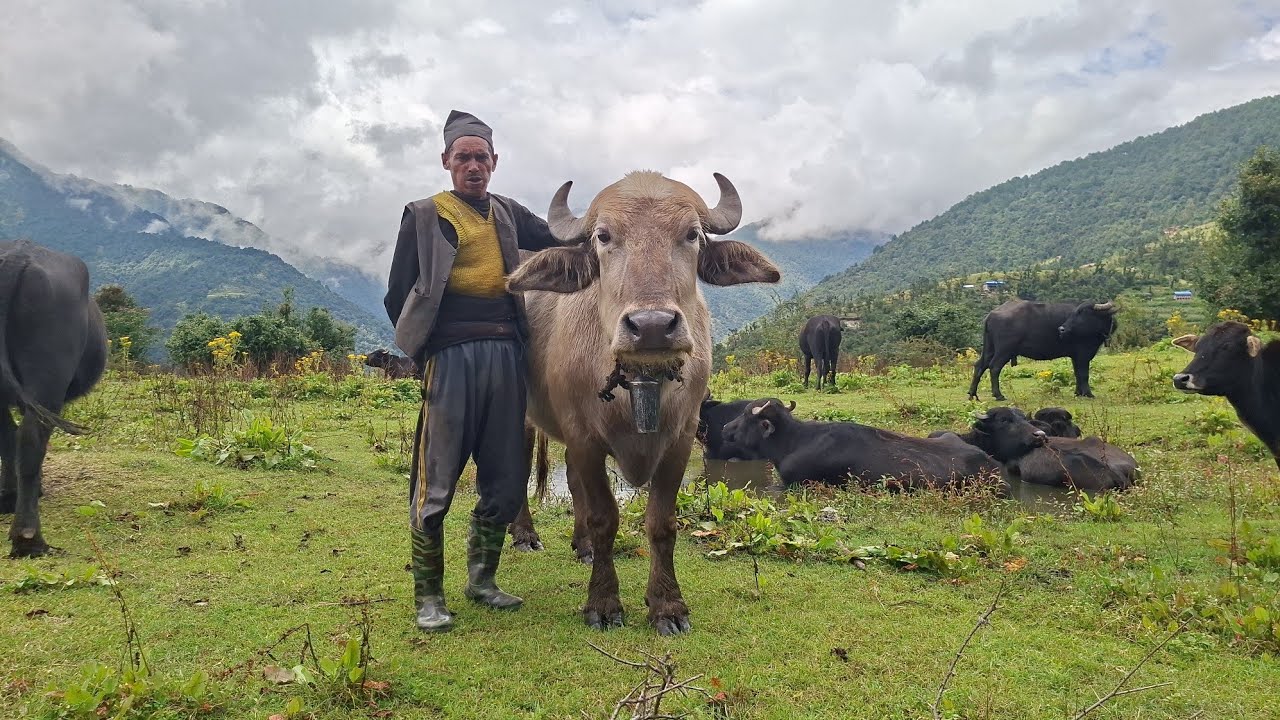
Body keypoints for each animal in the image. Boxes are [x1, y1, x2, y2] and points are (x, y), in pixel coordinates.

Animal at [0, 240, 107, 557]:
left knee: (11, 436)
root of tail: (17, 254)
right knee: (31, 439)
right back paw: (29, 538)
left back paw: (9, 501)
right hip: (49, 377)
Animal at [504, 171, 780, 635]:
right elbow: (604, 518)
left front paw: (667, 605)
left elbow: (661, 522)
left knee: (572, 482)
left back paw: (581, 546)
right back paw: (525, 535)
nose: (652, 326)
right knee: (521, 470)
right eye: (603, 236)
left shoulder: (681, 439)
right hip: (526, 416)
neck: (642, 383)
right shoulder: (583, 437)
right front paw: (603, 602)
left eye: (691, 234)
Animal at [968, 299, 1119, 401]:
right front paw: (1088, 393)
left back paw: (972, 394)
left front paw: (1078, 392)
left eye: (1084, 313)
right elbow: (1084, 374)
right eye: (1077, 312)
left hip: (989, 349)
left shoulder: (1075, 356)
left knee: (980, 365)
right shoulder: (1083, 354)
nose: (1061, 329)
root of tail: (992, 314)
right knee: (994, 367)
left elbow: (1077, 373)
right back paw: (998, 395)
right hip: (1005, 350)